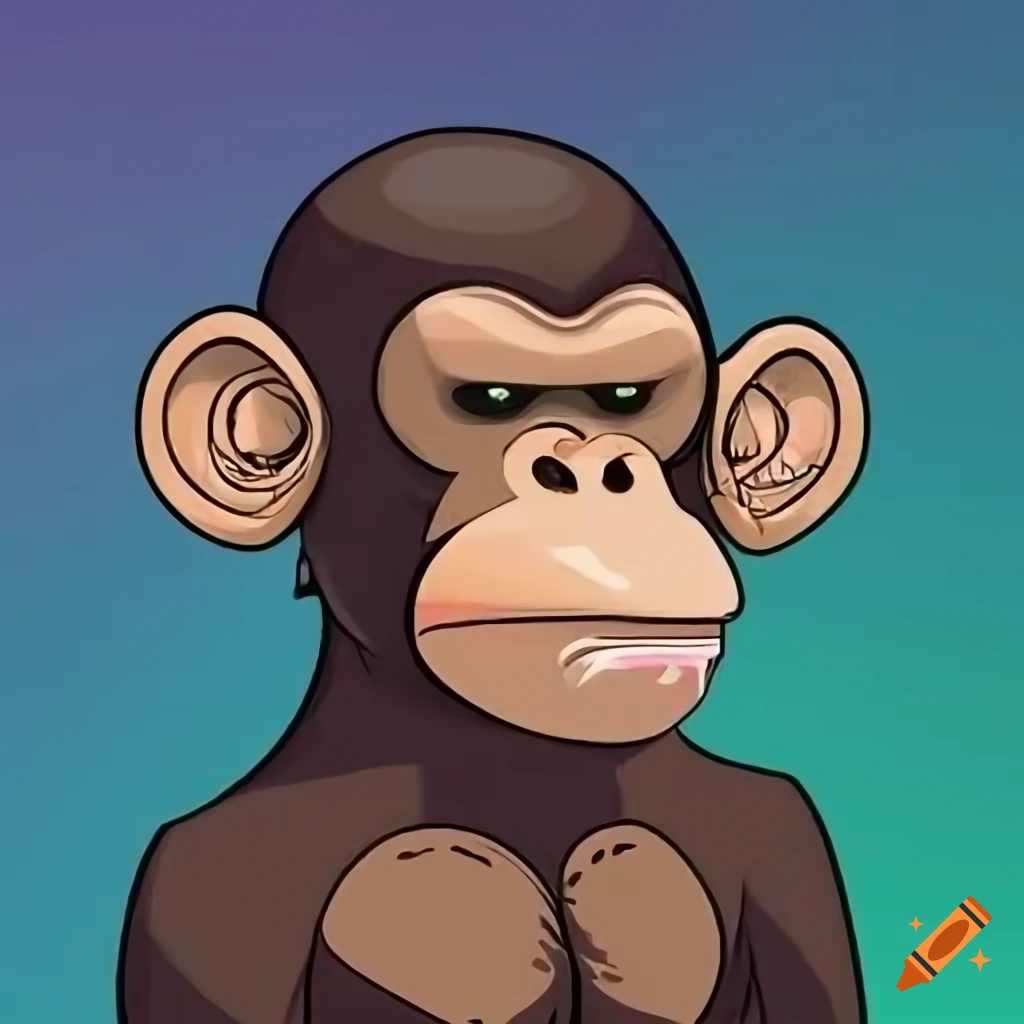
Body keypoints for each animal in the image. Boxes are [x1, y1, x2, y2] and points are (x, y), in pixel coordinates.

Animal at [120, 128, 869, 1024]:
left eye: (626, 398)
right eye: (493, 399)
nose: (596, 471)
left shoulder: (790, 838)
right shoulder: (191, 895)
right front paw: (467, 911)